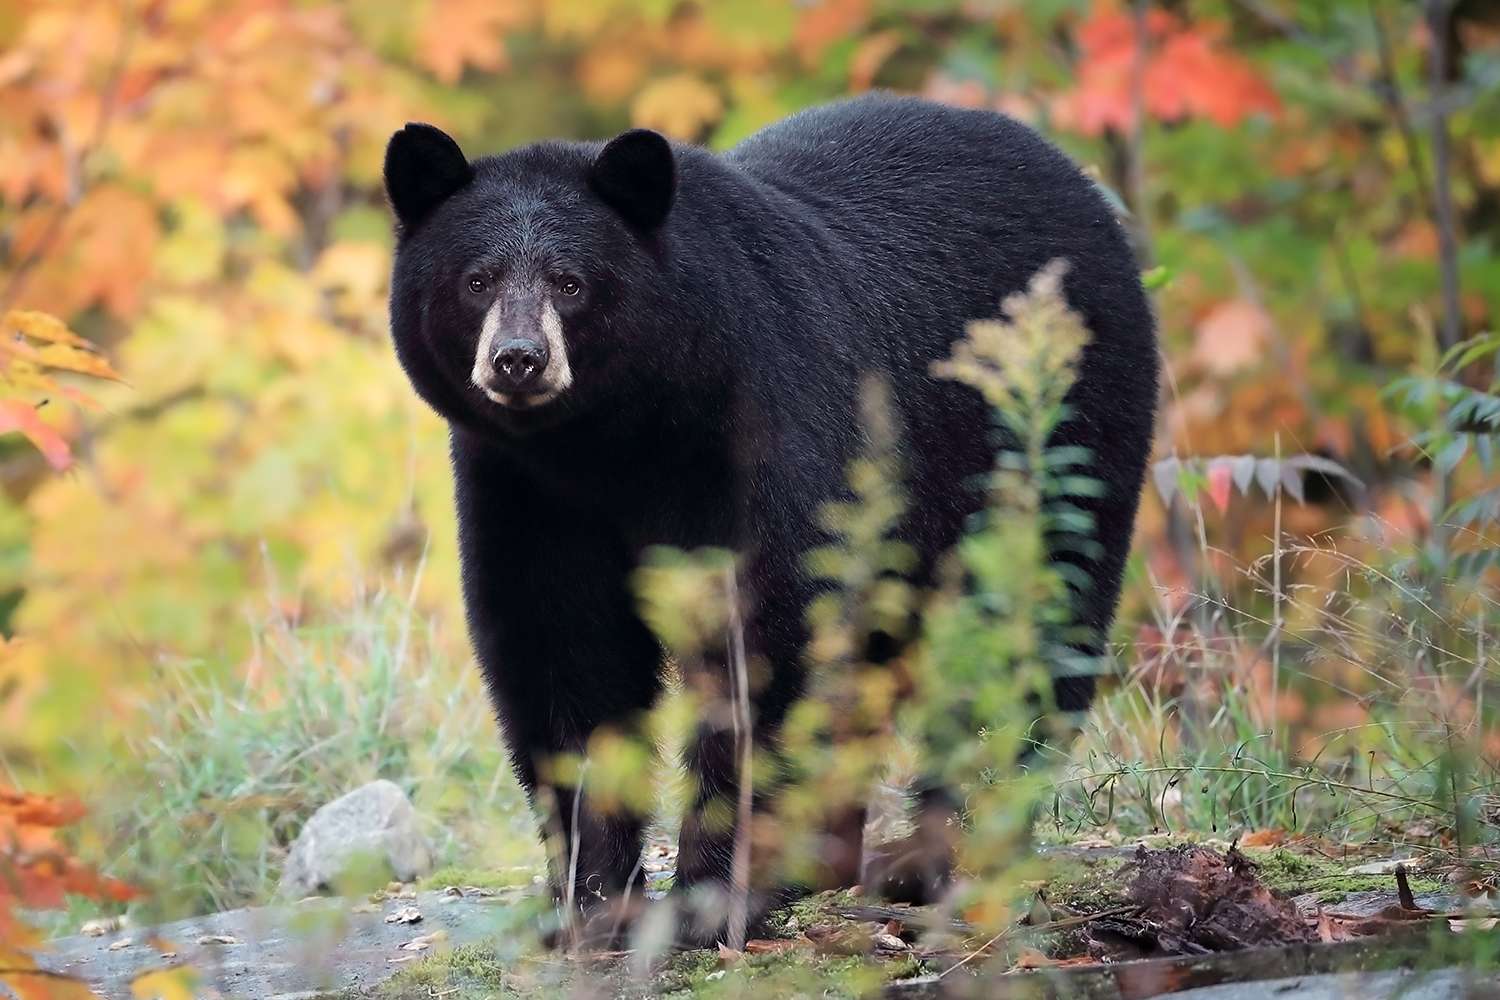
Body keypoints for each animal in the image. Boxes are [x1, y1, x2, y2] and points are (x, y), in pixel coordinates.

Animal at [382, 93, 1158, 946]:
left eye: (571, 281)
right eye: (475, 279)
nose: (519, 359)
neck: (616, 437)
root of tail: (1077, 182)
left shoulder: (769, 423)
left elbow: (771, 636)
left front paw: (713, 894)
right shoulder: (525, 489)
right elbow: (561, 650)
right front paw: (591, 899)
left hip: (1055, 433)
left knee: (1027, 622)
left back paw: (945, 852)